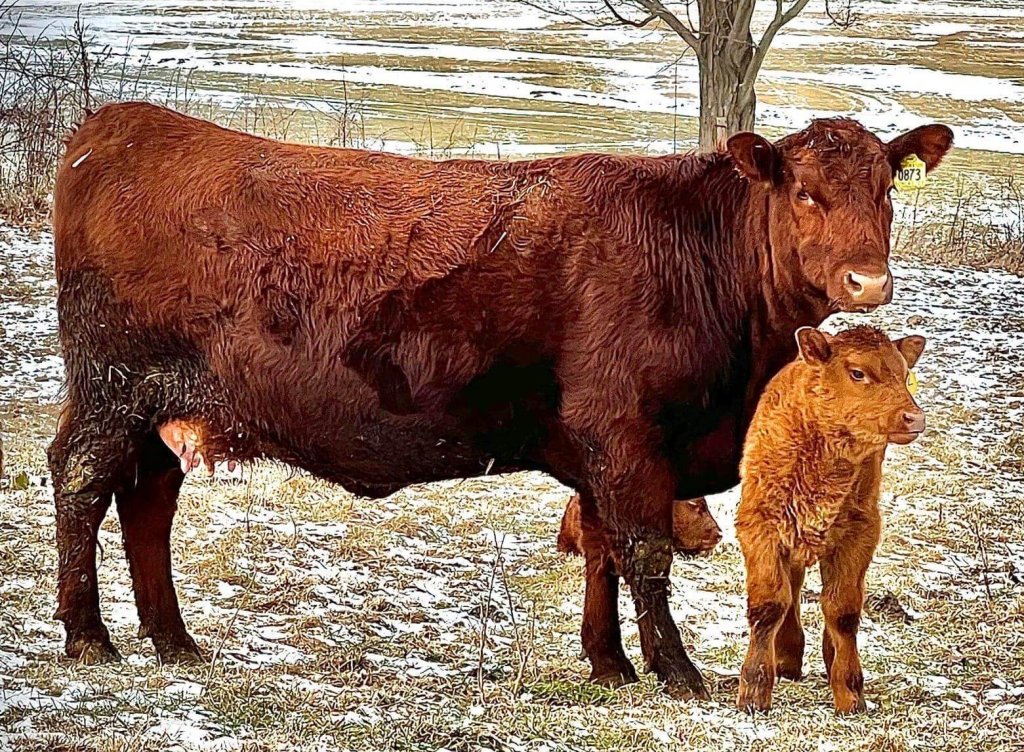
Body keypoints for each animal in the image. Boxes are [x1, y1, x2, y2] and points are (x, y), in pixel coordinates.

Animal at [735, 326, 926, 713]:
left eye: (904, 375)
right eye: (857, 372)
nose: (914, 418)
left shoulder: (860, 533)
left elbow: (843, 611)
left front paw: (851, 694)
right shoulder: (760, 527)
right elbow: (769, 605)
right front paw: (754, 692)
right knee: (792, 588)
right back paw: (787, 658)